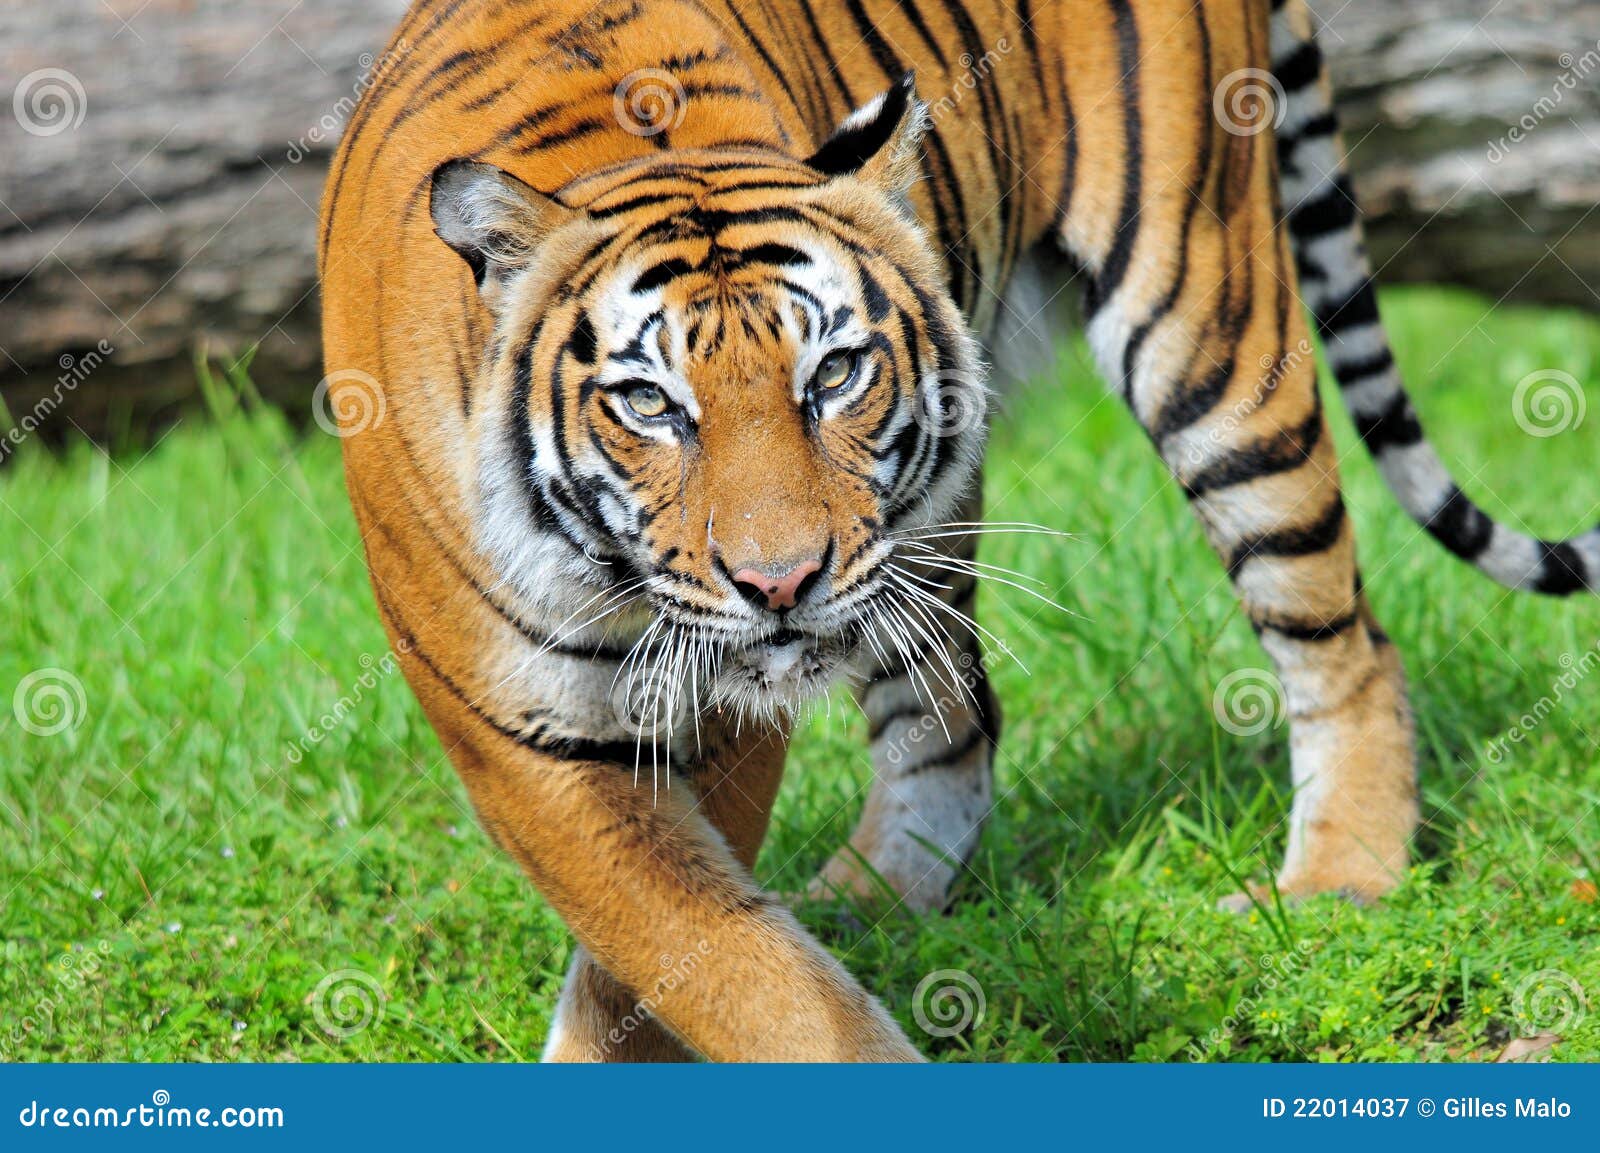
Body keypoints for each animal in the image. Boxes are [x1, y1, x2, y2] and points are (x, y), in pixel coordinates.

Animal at [318, 0, 1595, 1061]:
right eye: (648, 405)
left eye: (832, 373)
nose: (779, 584)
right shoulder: (525, 732)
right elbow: (709, 949)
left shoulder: (721, 707)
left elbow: (712, 963)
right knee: (955, 712)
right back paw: (872, 899)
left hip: (1205, 324)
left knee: (1343, 635)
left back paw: (1338, 880)